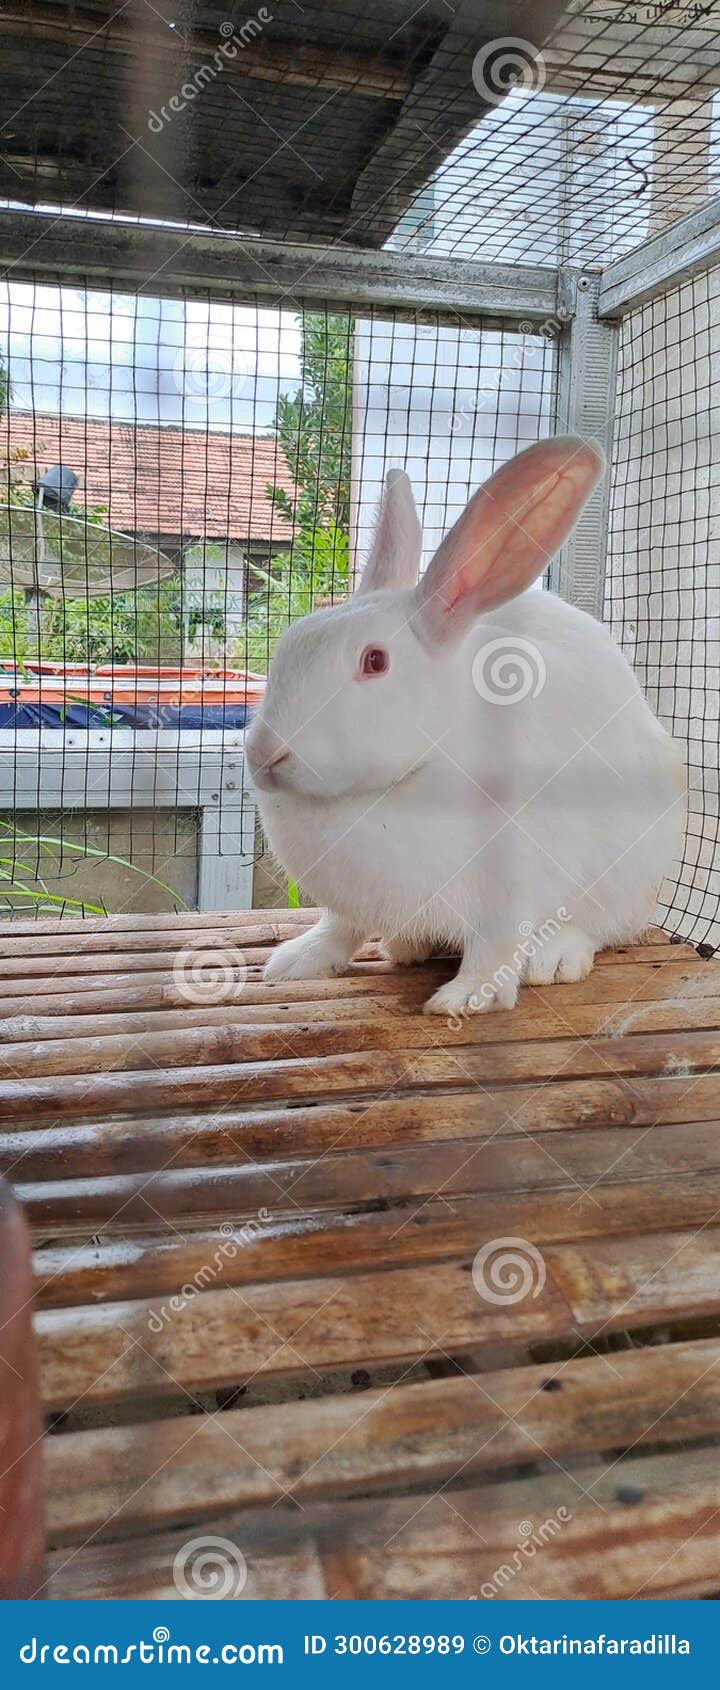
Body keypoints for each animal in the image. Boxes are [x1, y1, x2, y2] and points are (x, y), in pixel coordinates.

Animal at [245, 437, 686, 1017]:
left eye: (375, 662)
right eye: (291, 641)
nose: (263, 754)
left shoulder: (512, 893)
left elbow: (493, 950)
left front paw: (465, 998)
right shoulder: (347, 905)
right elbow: (339, 929)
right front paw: (294, 962)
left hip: (628, 877)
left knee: (603, 928)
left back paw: (554, 960)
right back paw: (405, 945)